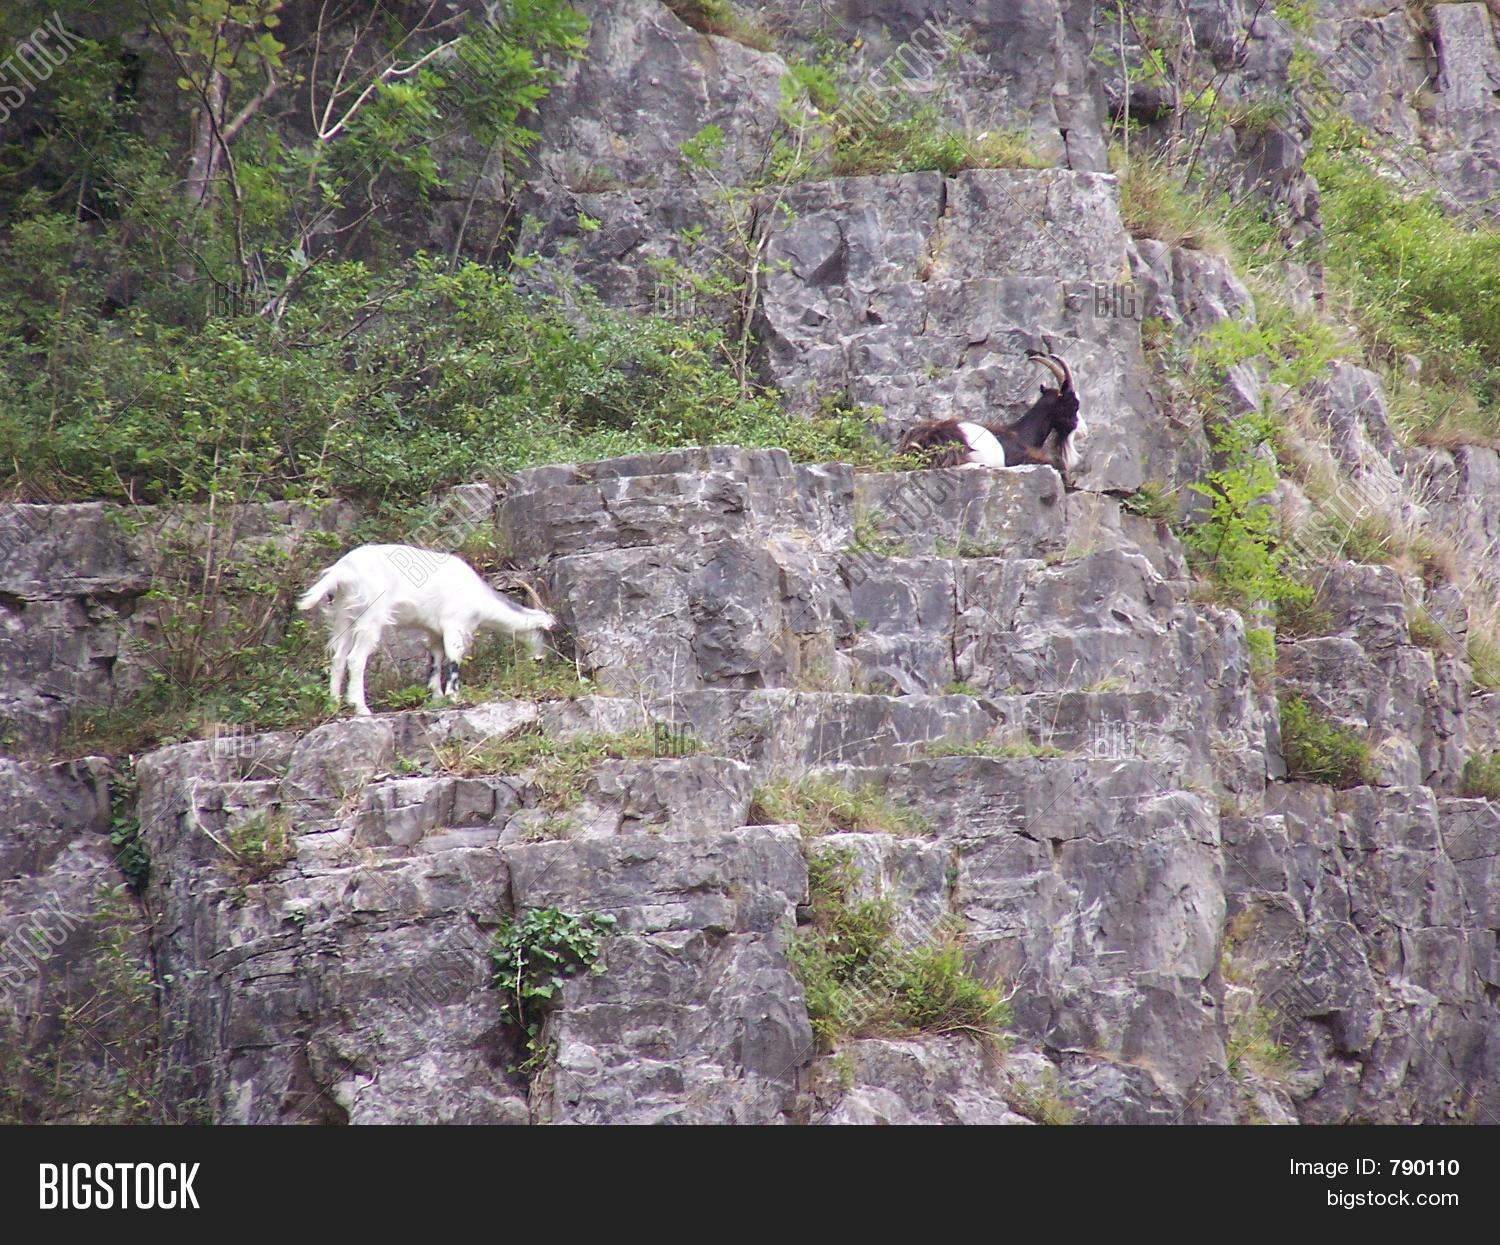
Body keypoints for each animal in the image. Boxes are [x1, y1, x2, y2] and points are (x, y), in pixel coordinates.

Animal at [297, 543, 556, 716]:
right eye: (546, 633)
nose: (541, 660)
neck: (480, 600)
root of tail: (342, 571)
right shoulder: (454, 625)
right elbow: (453, 659)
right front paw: (453, 696)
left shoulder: (433, 631)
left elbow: (435, 660)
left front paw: (436, 696)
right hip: (370, 615)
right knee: (355, 658)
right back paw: (361, 708)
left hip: (344, 615)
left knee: (338, 657)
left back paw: (333, 704)